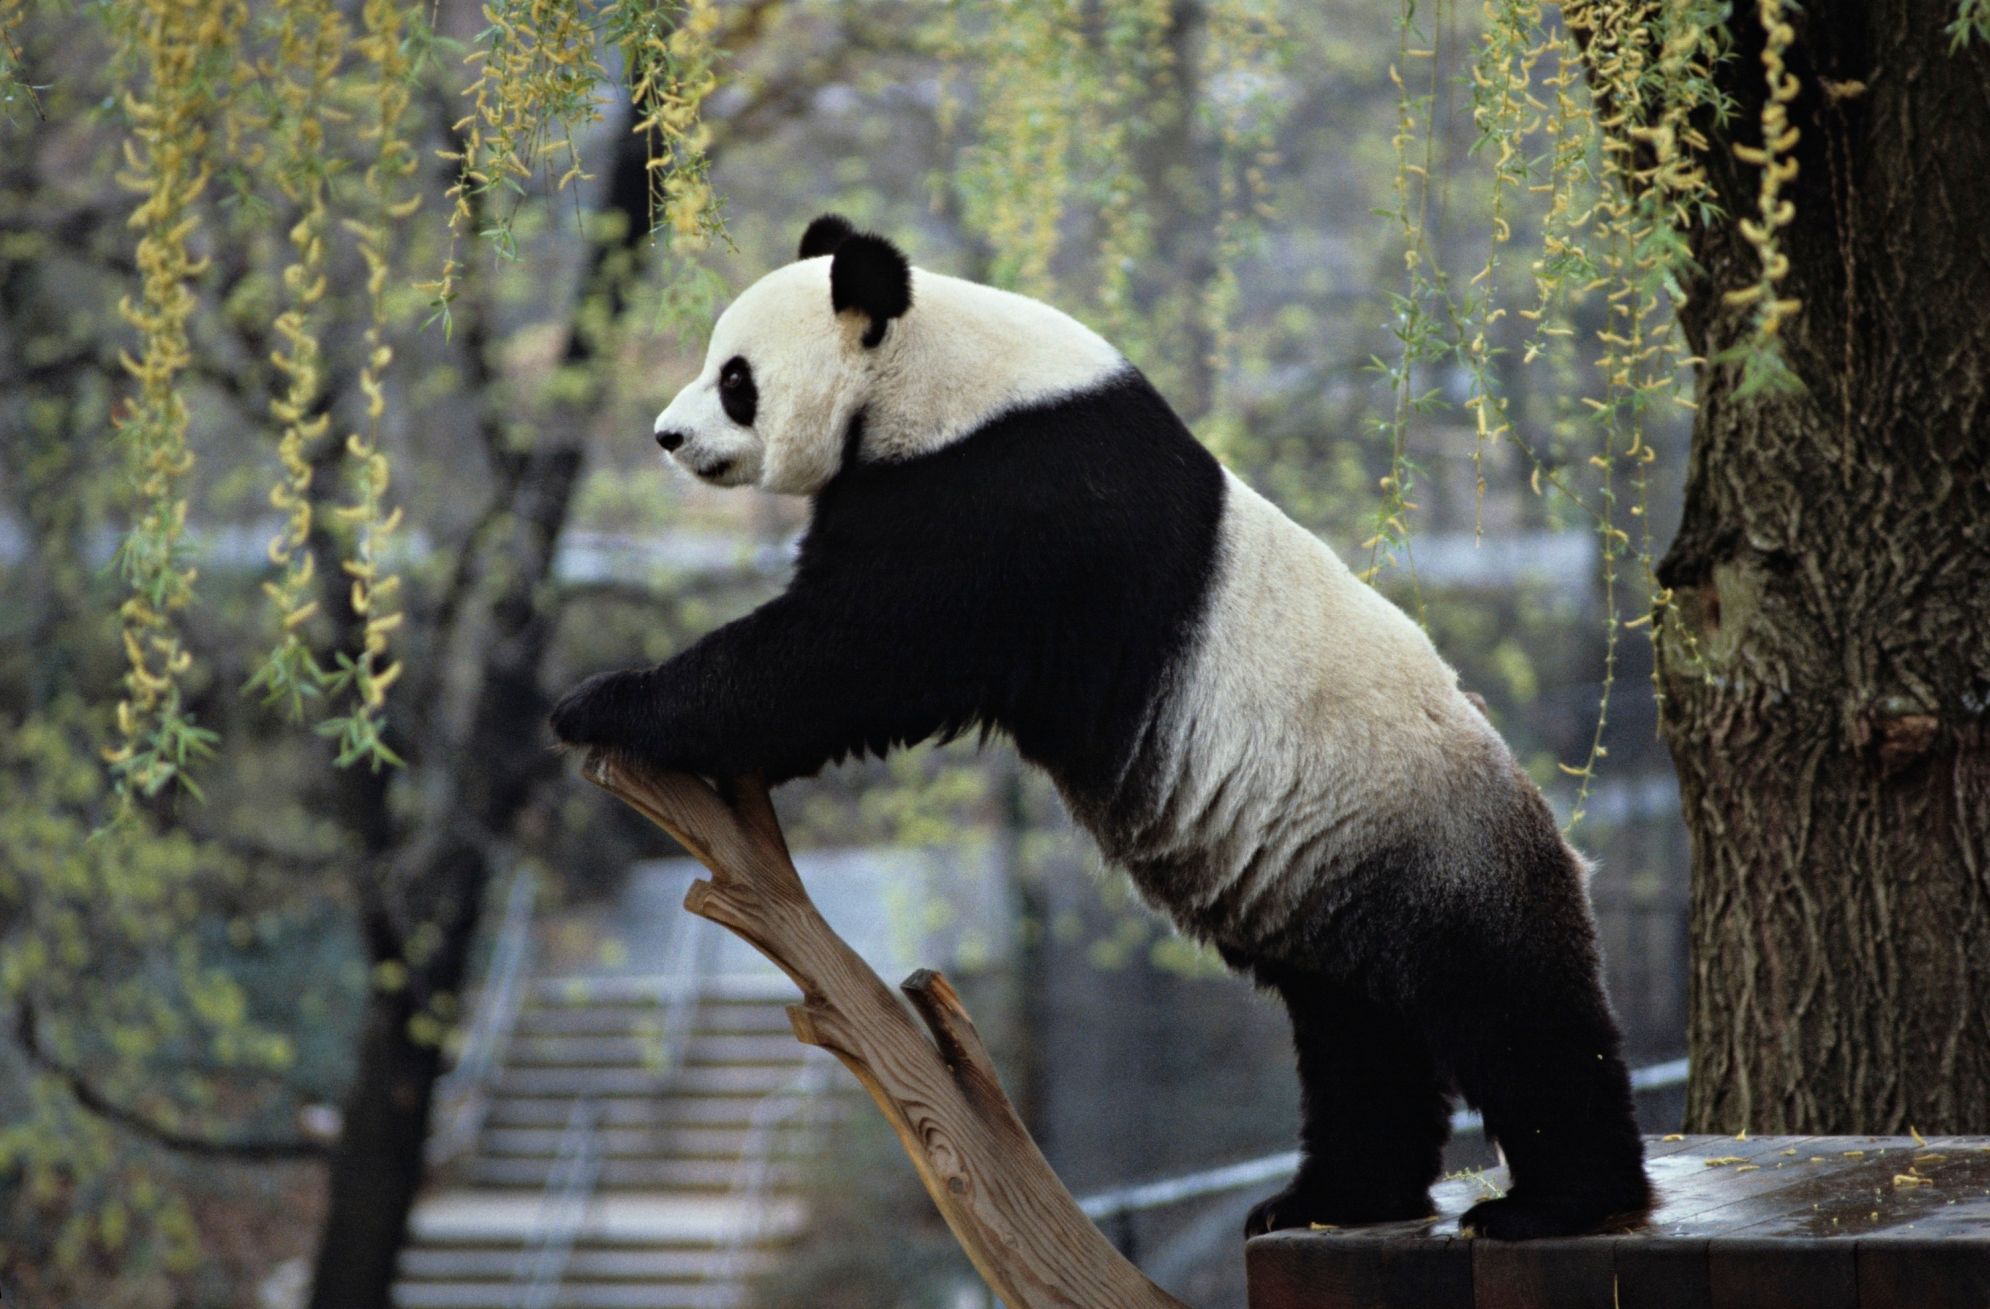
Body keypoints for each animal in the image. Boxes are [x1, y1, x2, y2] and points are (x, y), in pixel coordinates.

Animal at [551, 214, 1652, 1241]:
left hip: (1436, 850)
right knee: (1357, 1038)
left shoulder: (1010, 495)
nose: (667, 436)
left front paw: (600, 701)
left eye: (735, 379)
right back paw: (1330, 1198)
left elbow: (849, 653)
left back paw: (1561, 1202)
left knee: (1511, 1014)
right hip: (1337, 885)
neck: (940, 371)